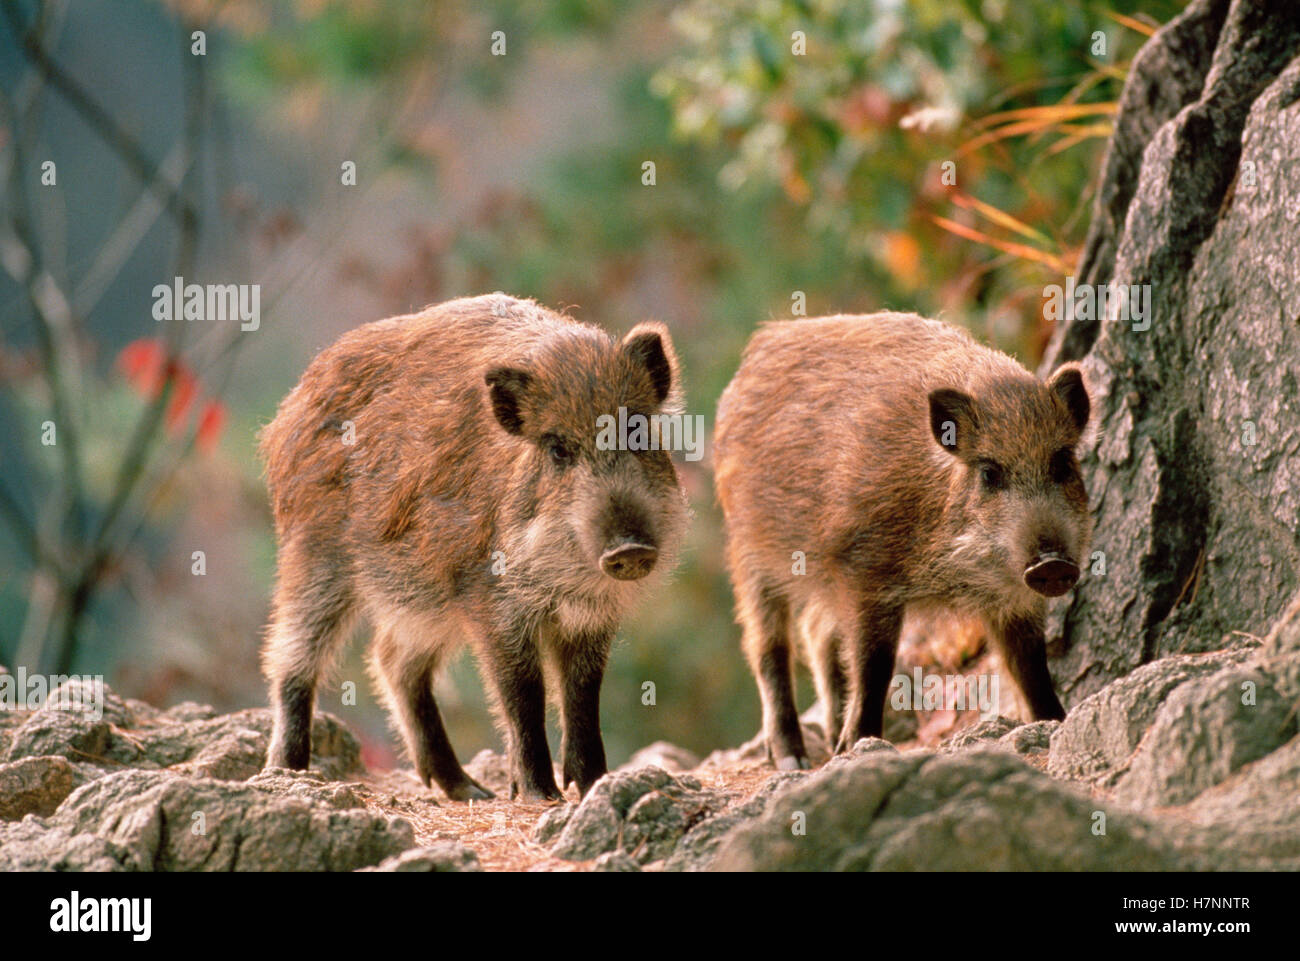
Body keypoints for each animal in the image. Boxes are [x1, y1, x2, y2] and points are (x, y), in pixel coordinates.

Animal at [258, 294, 688, 800]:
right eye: (558, 449)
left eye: (637, 431)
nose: (629, 550)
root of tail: (288, 409)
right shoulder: (488, 598)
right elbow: (523, 693)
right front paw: (540, 796)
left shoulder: (590, 615)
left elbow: (582, 694)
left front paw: (595, 784)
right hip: (315, 553)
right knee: (292, 655)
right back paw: (286, 773)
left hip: (419, 595)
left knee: (393, 660)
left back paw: (467, 790)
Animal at [713, 312, 1091, 769]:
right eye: (989, 472)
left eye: (1063, 463)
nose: (1051, 563)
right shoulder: (862, 571)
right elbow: (873, 664)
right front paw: (857, 747)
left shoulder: (1014, 598)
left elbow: (1031, 665)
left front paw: (1058, 722)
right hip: (749, 551)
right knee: (768, 646)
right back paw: (794, 760)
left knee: (816, 630)